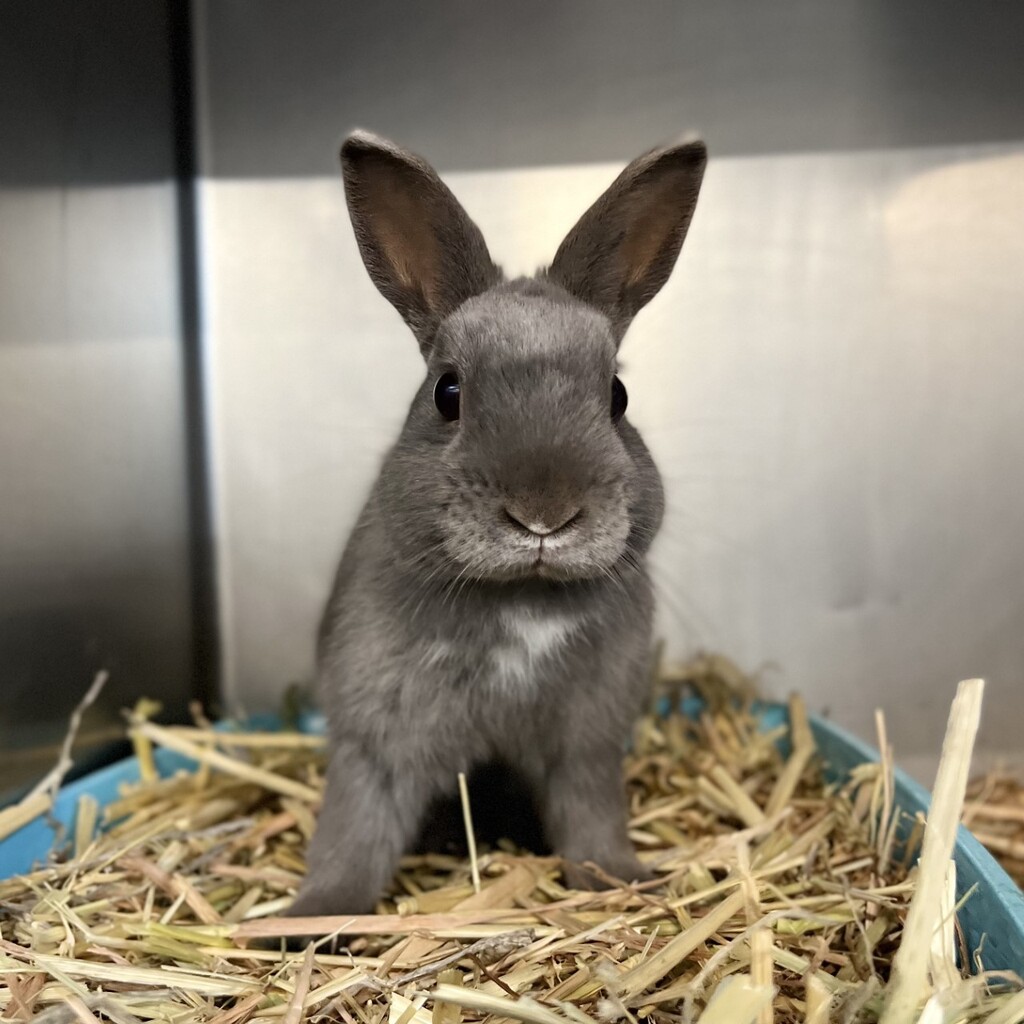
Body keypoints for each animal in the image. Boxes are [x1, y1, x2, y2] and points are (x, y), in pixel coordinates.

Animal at [286, 130, 707, 919]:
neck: (520, 596)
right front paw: (312, 917)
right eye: (448, 392)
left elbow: (591, 818)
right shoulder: (377, 741)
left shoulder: (587, 744)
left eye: (617, 396)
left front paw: (619, 882)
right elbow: (354, 835)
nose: (544, 512)